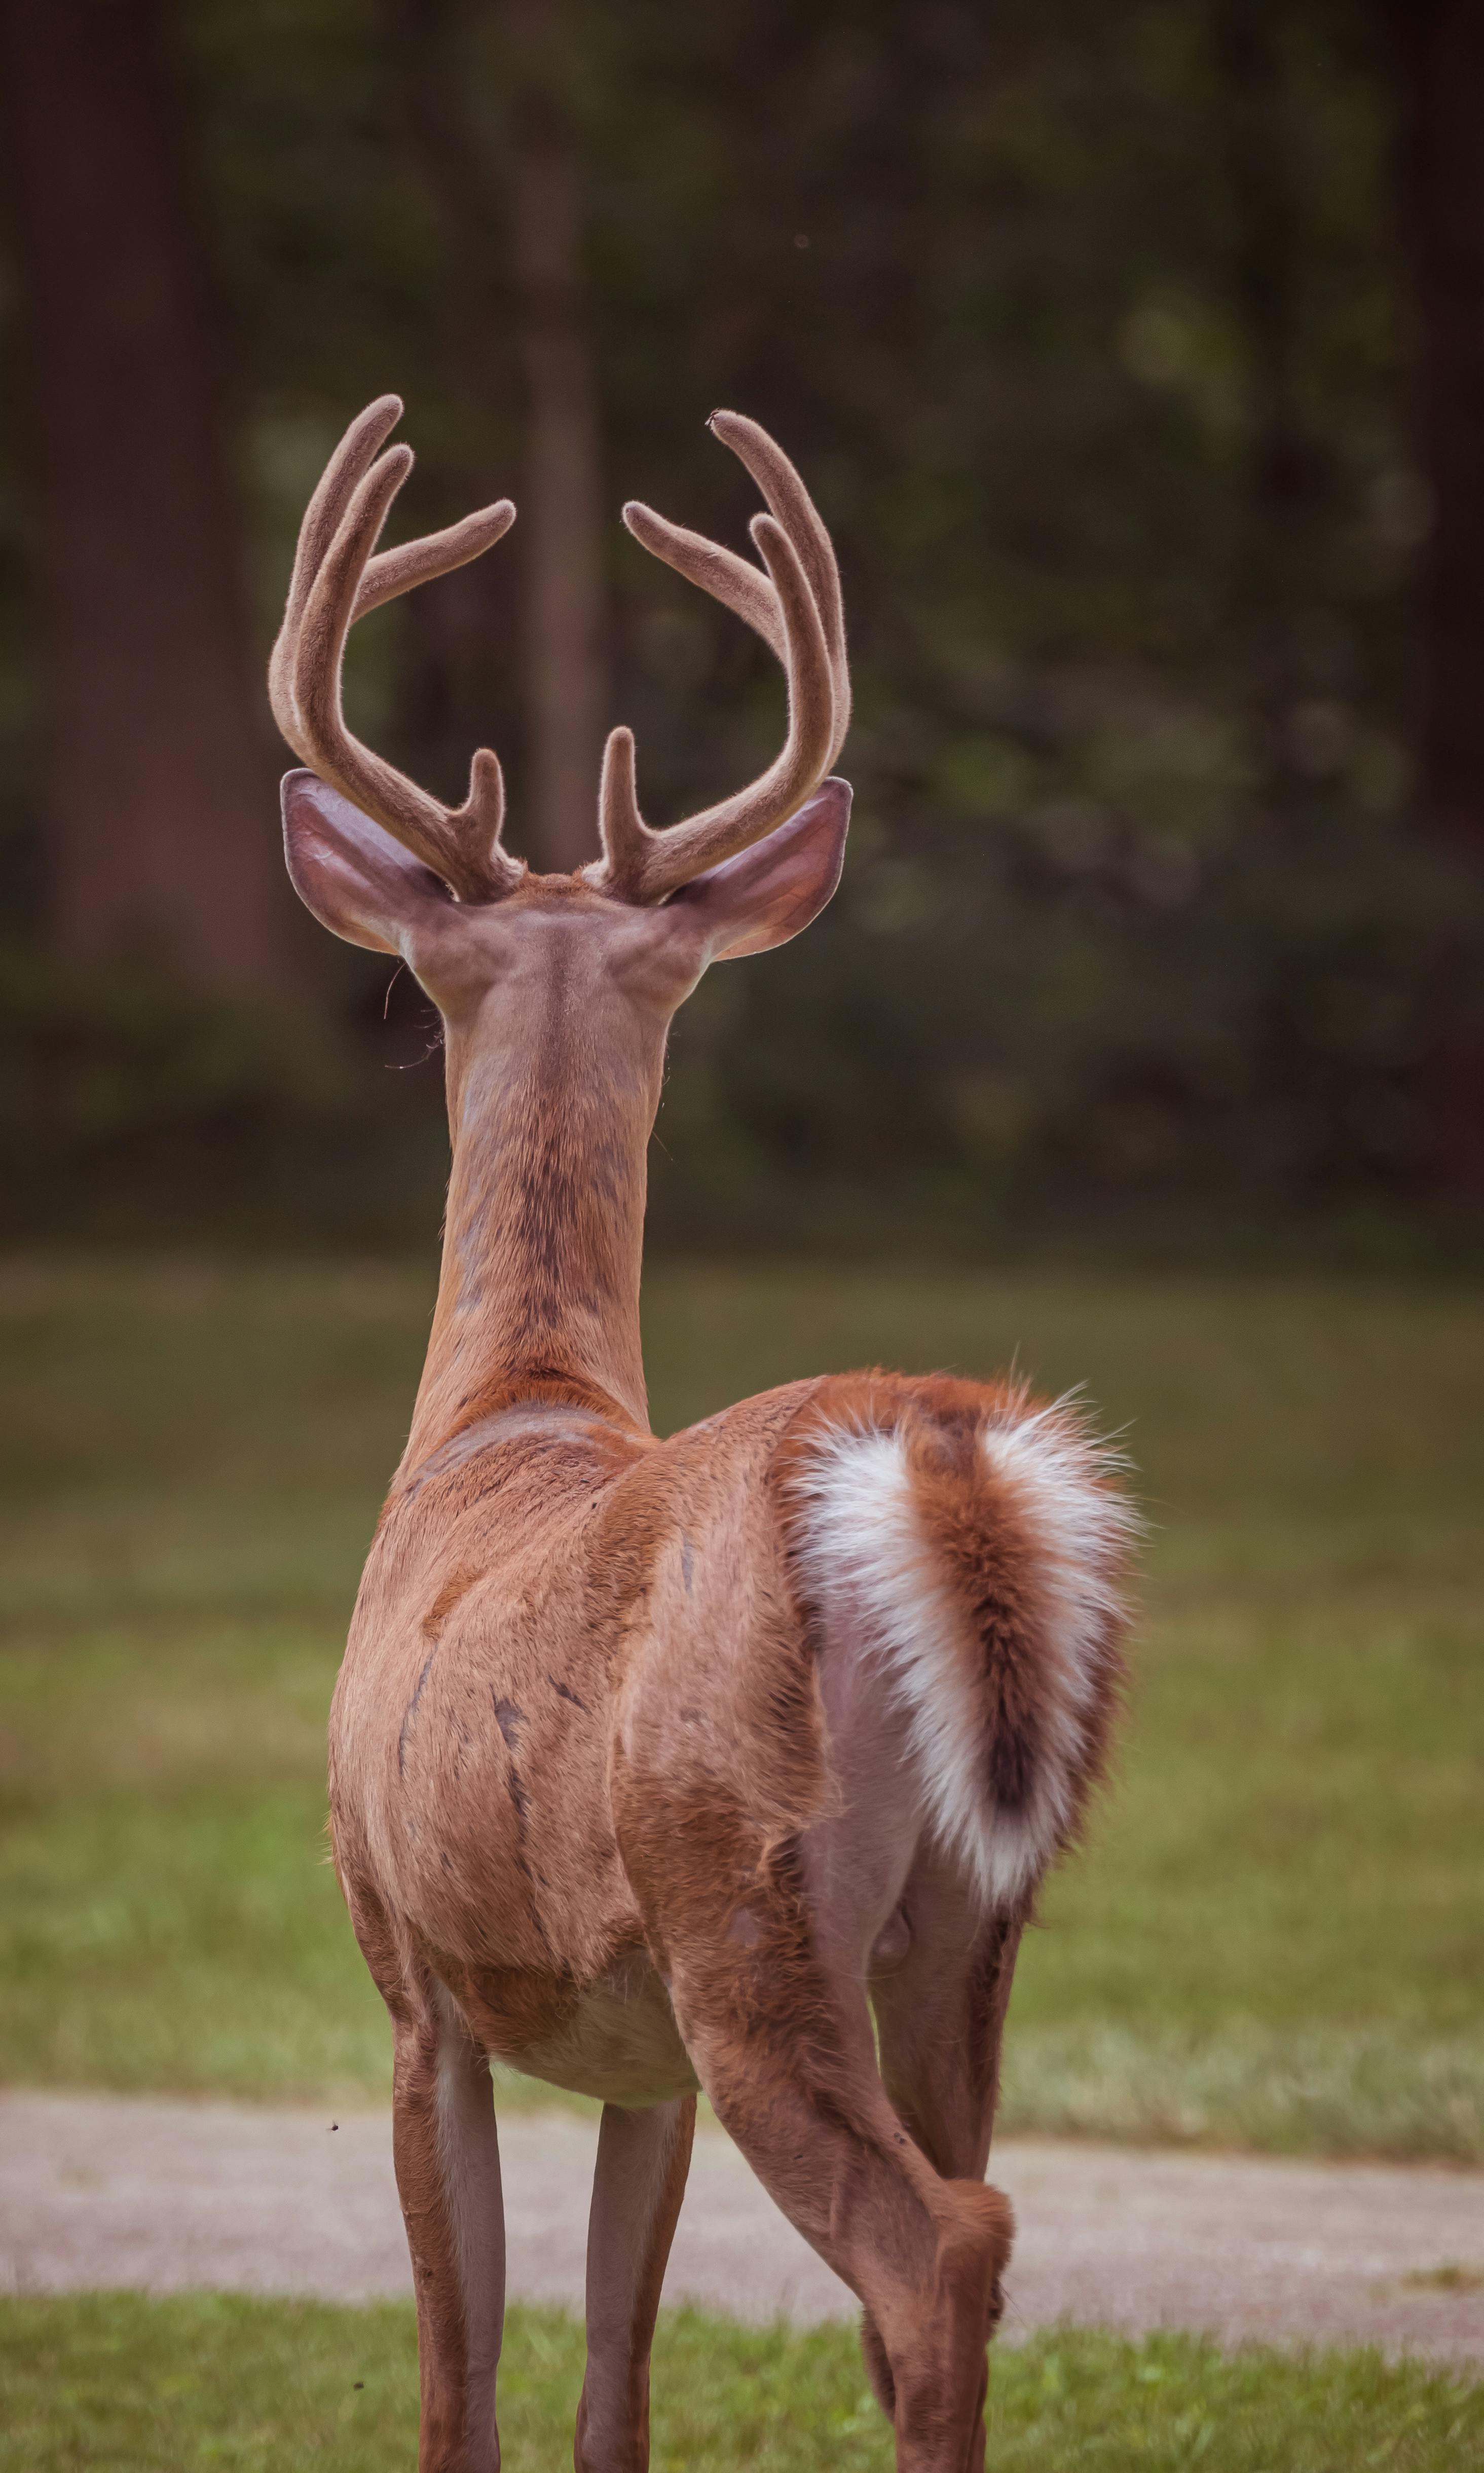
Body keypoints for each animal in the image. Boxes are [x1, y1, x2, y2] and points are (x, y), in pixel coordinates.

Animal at [268, 394, 1132, 2473]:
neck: (506, 1417)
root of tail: (938, 1438)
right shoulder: (633, 2047)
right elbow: (612, 2379)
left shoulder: (412, 1974)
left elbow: (463, 2380)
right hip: (968, 1918)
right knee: (973, 2214)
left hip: (741, 1875)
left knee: (937, 2246)